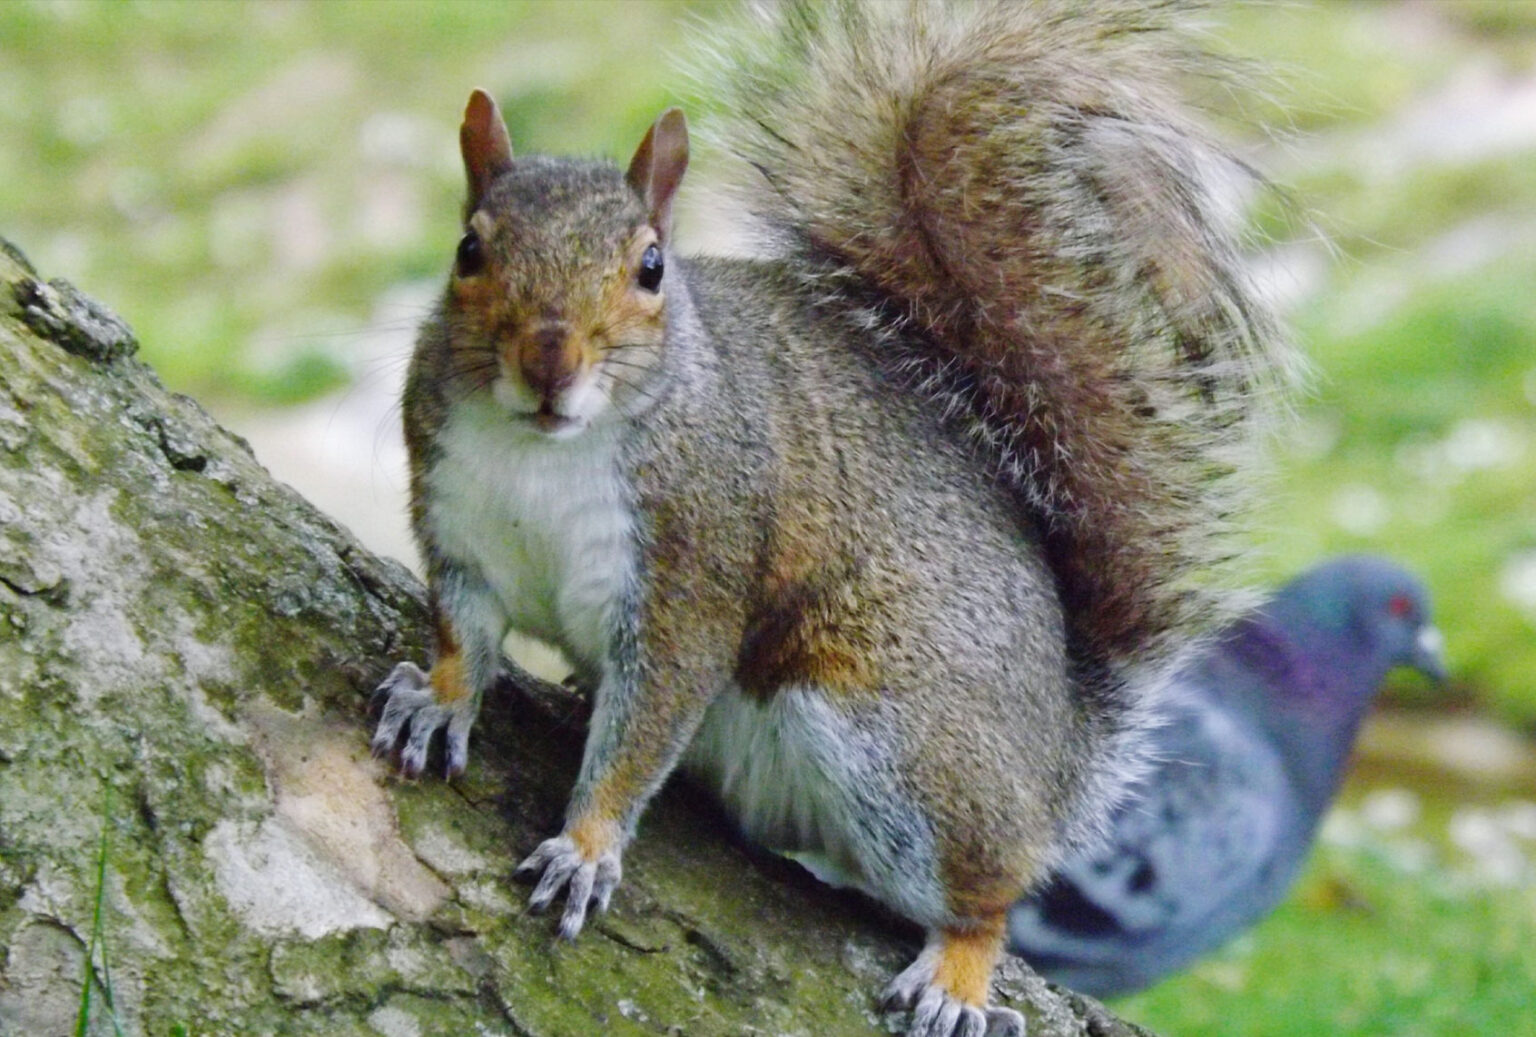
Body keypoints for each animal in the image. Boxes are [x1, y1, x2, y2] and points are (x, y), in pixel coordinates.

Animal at [370, 1, 1293, 1033]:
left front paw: (587, 846)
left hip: (902, 749)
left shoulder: (692, 568)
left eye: (650, 266)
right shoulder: (459, 525)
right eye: (469, 251)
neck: (543, 451)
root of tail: (1060, 749)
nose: (548, 363)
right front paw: (436, 700)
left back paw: (957, 974)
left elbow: (646, 724)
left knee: (990, 888)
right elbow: (464, 632)